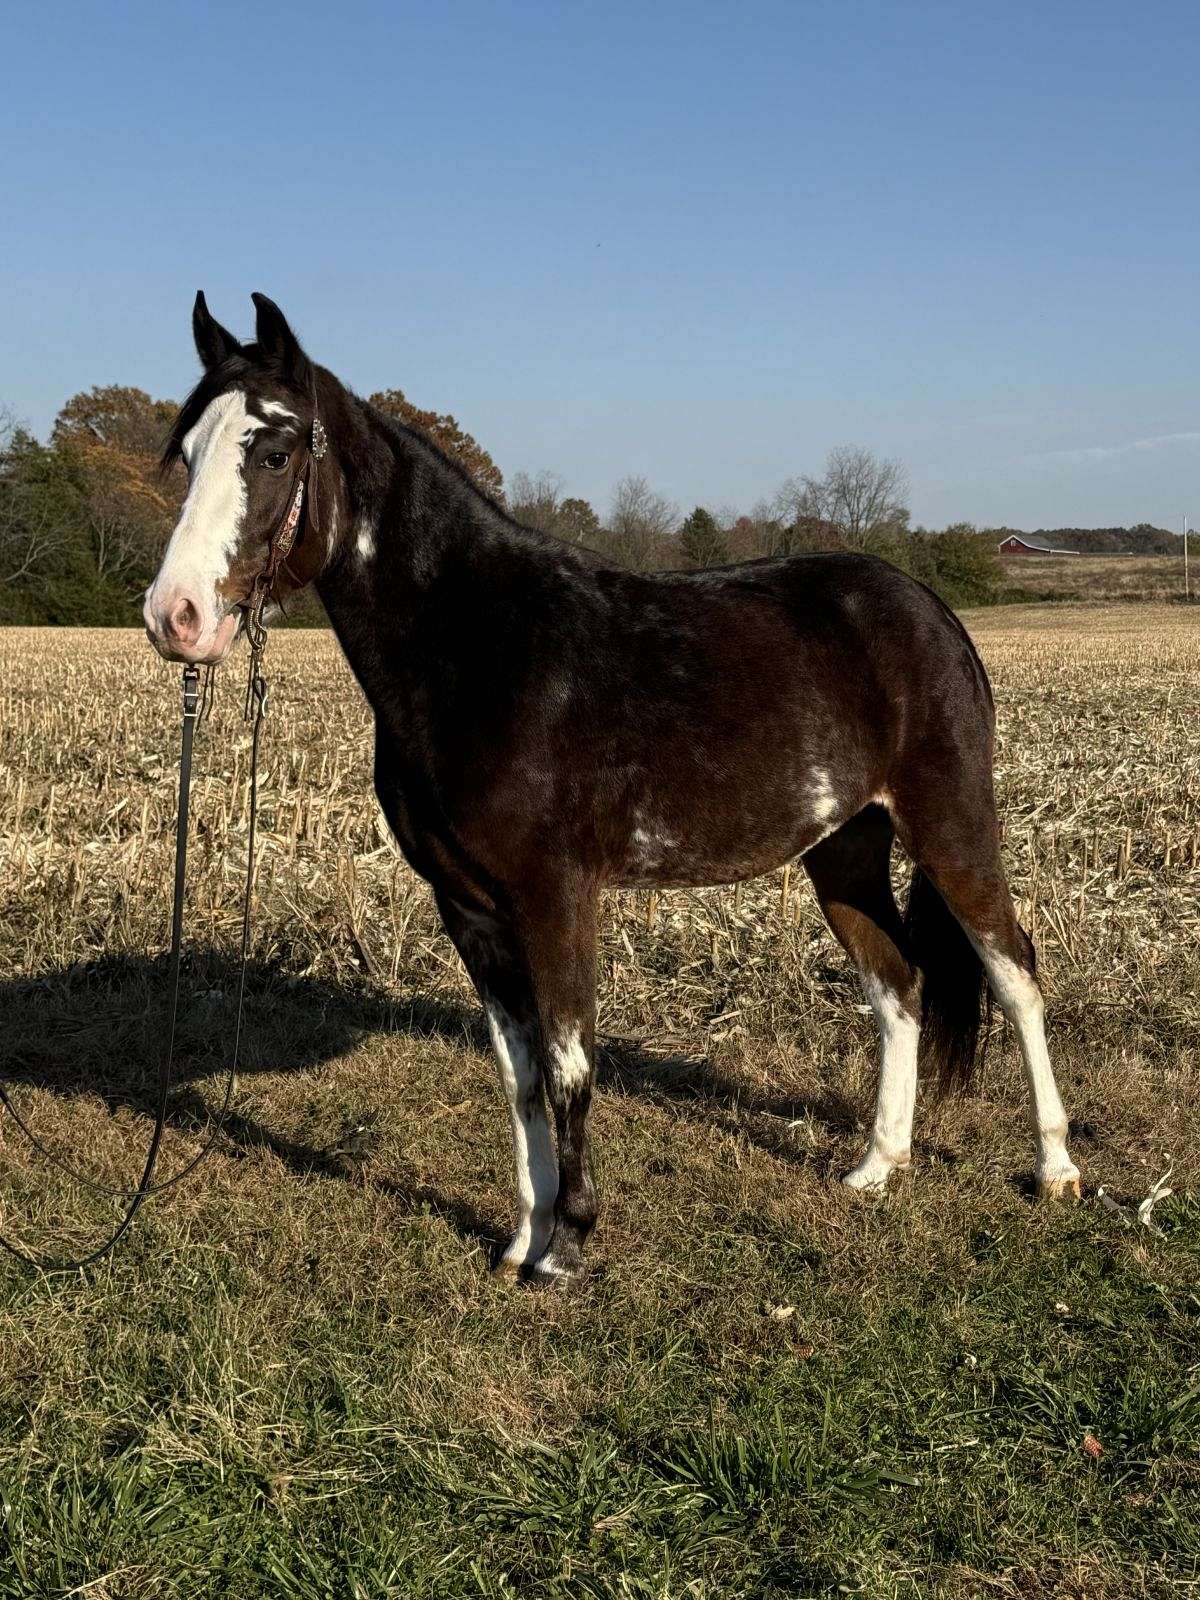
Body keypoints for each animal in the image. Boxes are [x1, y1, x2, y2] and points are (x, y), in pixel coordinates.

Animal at [144, 292, 1080, 1289]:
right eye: (188, 452)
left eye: (273, 451)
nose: (176, 617)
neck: (477, 649)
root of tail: (930, 609)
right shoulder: (468, 908)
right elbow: (518, 1075)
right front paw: (523, 1239)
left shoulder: (556, 896)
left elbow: (570, 1066)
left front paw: (570, 1242)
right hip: (845, 848)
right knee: (897, 985)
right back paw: (877, 1166)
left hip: (949, 824)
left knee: (1014, 973)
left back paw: (1055, 1168)